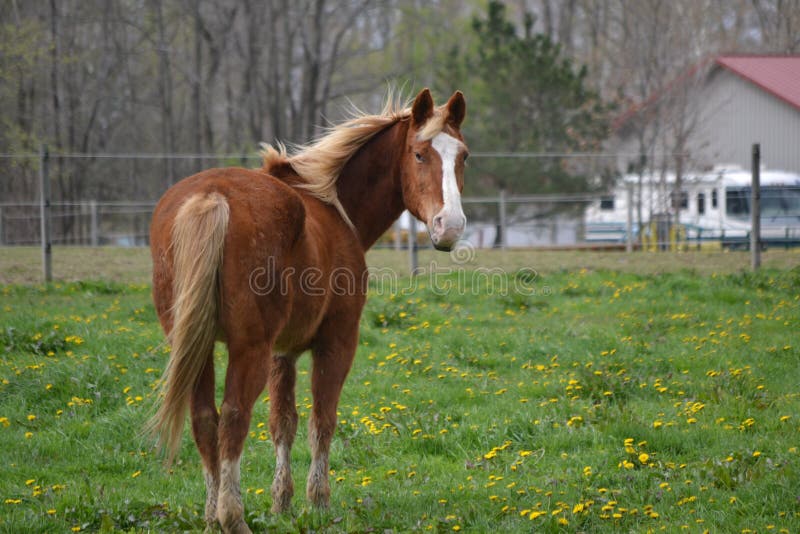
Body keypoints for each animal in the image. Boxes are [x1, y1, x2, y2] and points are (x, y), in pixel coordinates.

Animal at [147, 88, 468, 533]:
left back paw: (212, 516)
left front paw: (282, 502)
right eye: (420, 154)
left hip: (199, 346)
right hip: (248, 349)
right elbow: (322, 420)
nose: (449, 226)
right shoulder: (336, 342)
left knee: (205, 419)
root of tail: (210, 197)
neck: (333, 206)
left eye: (463, 156)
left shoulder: (282, 353)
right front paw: (318, 502)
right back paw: (233, 516)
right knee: (232, 419)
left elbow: (283, 423)